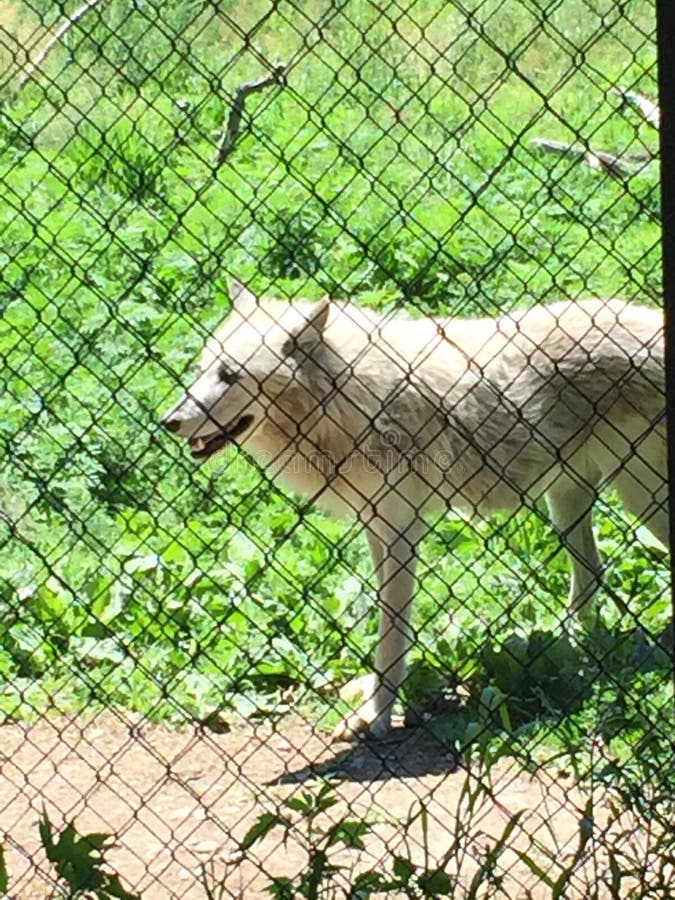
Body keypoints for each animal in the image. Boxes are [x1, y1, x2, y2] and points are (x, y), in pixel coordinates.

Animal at [161, 281, 667, 739]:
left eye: (230, 375)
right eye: (201, 369)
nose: (169, 421)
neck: (350, 399)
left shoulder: (402, 534)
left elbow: (391, 638)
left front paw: (376, 718)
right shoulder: (376, 531)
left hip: (641, 499)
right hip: (568, 504)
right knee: (593, 575)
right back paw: (565, 649)